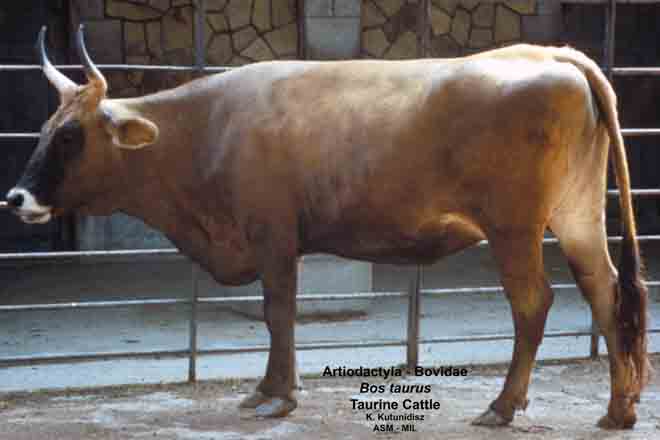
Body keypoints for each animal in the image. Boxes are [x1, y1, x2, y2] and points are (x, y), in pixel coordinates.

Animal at [6, 25, 648, 429]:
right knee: (604, 291)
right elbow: (279, 316)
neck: (208, 128)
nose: (16, 197)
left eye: (71, 136)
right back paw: (618, 409)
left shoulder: (272, 234)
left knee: (534, 303)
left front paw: (278, 395)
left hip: (514, 228)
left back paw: (504, 405)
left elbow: (277, 312)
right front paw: (271, 390)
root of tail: (552, 55)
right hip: (578, 215)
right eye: (44, 130)